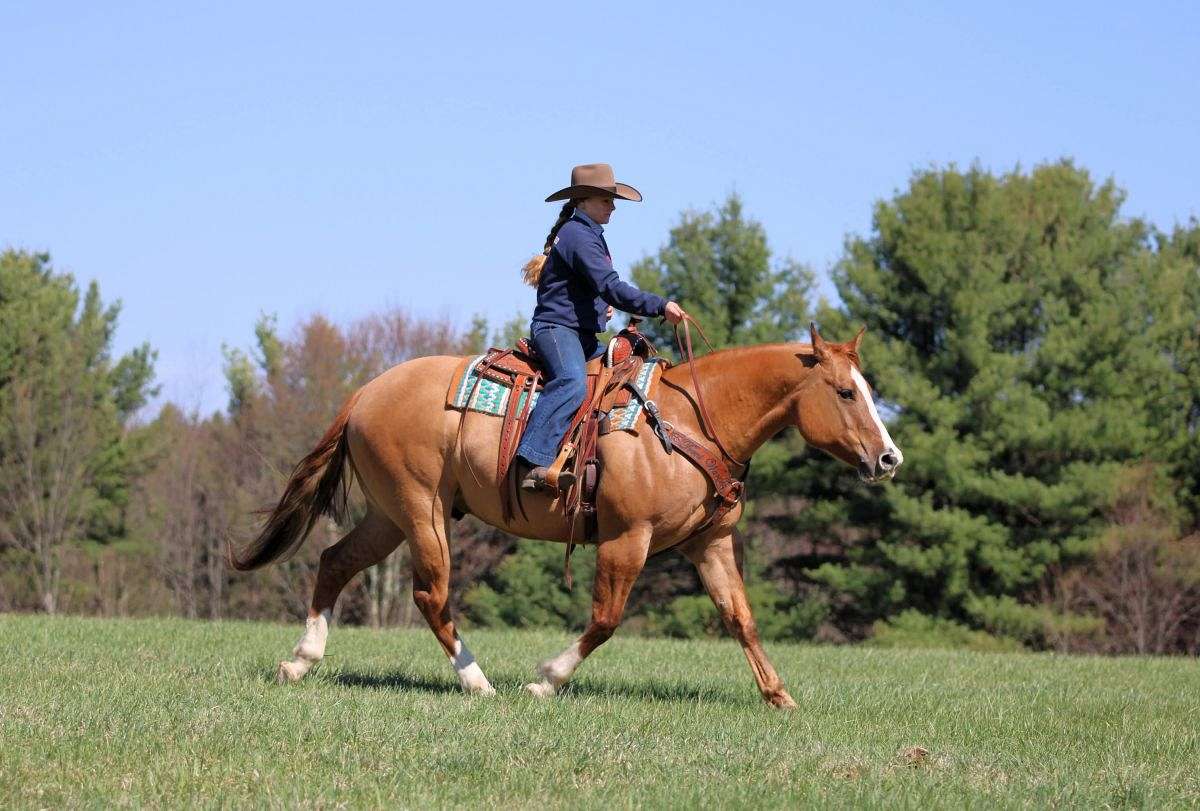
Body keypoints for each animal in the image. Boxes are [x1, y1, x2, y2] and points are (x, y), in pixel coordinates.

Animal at [230, 323, 903, 708]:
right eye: (847, 392)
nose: (889, 458)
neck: (687, 421)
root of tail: (367, 391)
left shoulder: (710, 545)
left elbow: (741, 619)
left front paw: (778, 696)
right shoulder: (626, 540)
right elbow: (605, 620)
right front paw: (546, 679)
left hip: (389, 515)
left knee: (334, 561)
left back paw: (302, 660)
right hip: (422, 512)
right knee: (430, 595)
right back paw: (478, 683)